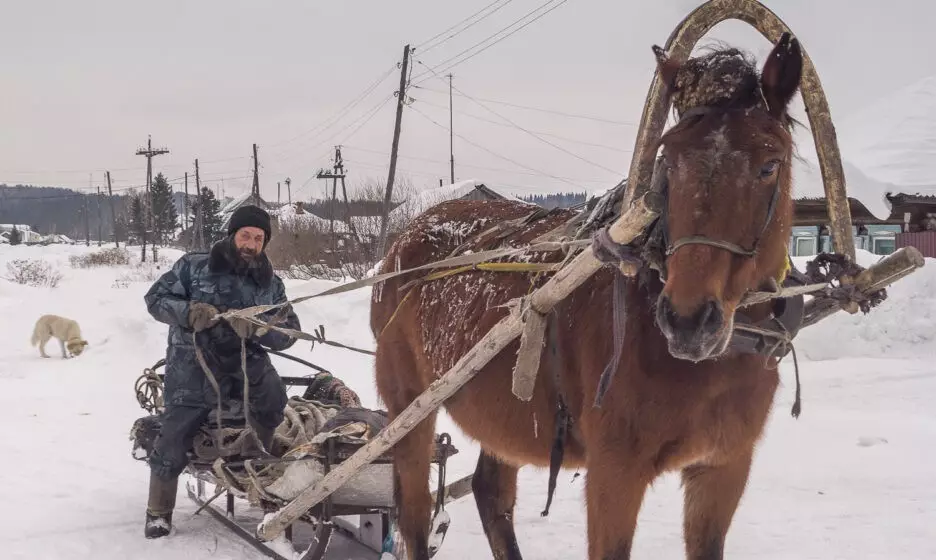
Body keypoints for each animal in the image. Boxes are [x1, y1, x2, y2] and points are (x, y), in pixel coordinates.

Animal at [372, 35, 804, 560]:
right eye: (669, 159)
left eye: (769, 164)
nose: (687, 321)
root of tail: (404, 240)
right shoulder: (615, 473)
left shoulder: (723, 468)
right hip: (409, 407)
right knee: (415, 516)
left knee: (490, 491)